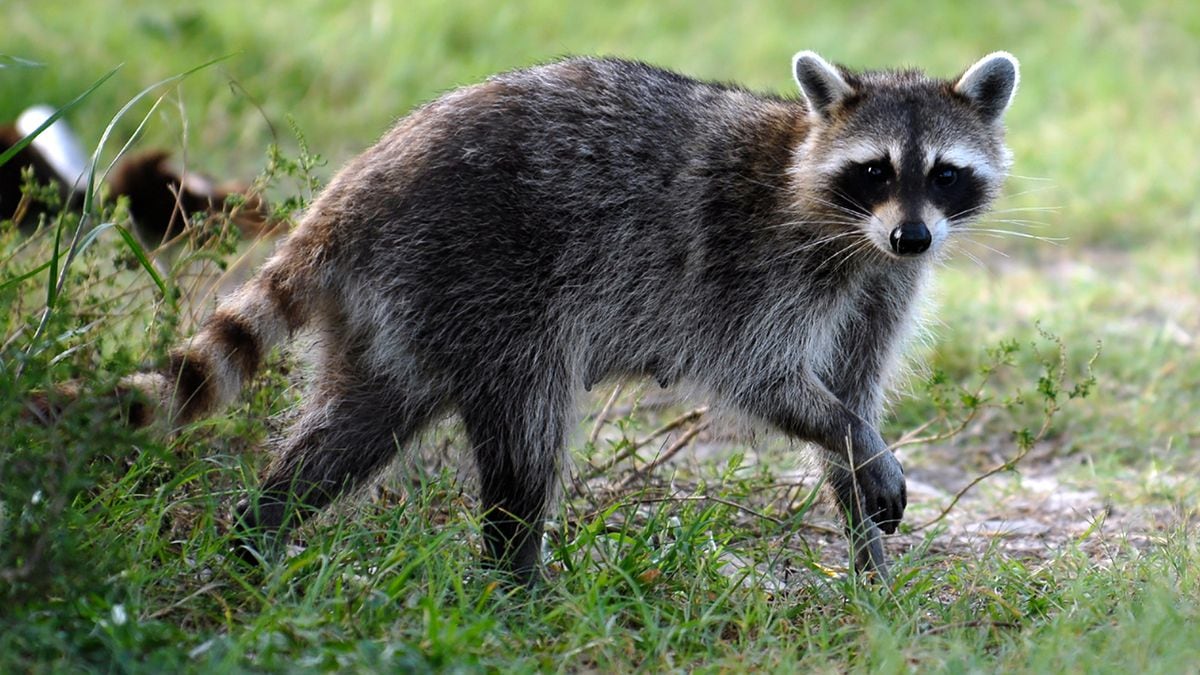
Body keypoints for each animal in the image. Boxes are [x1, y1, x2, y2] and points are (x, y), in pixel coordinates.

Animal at [89, 51, 1020, 582]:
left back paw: (259, 532)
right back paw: (517, 578)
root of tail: (357, 185)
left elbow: (850, 394)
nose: (912, 234)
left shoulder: (881, 287)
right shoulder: (754, 266)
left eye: (944, 174)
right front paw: (858, 451)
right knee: (529, 439)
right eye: (874, 170)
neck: (849, 226)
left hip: (399, 311)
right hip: (484, 280)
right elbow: (763, 376)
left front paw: (869, 545)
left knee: (352, 427)